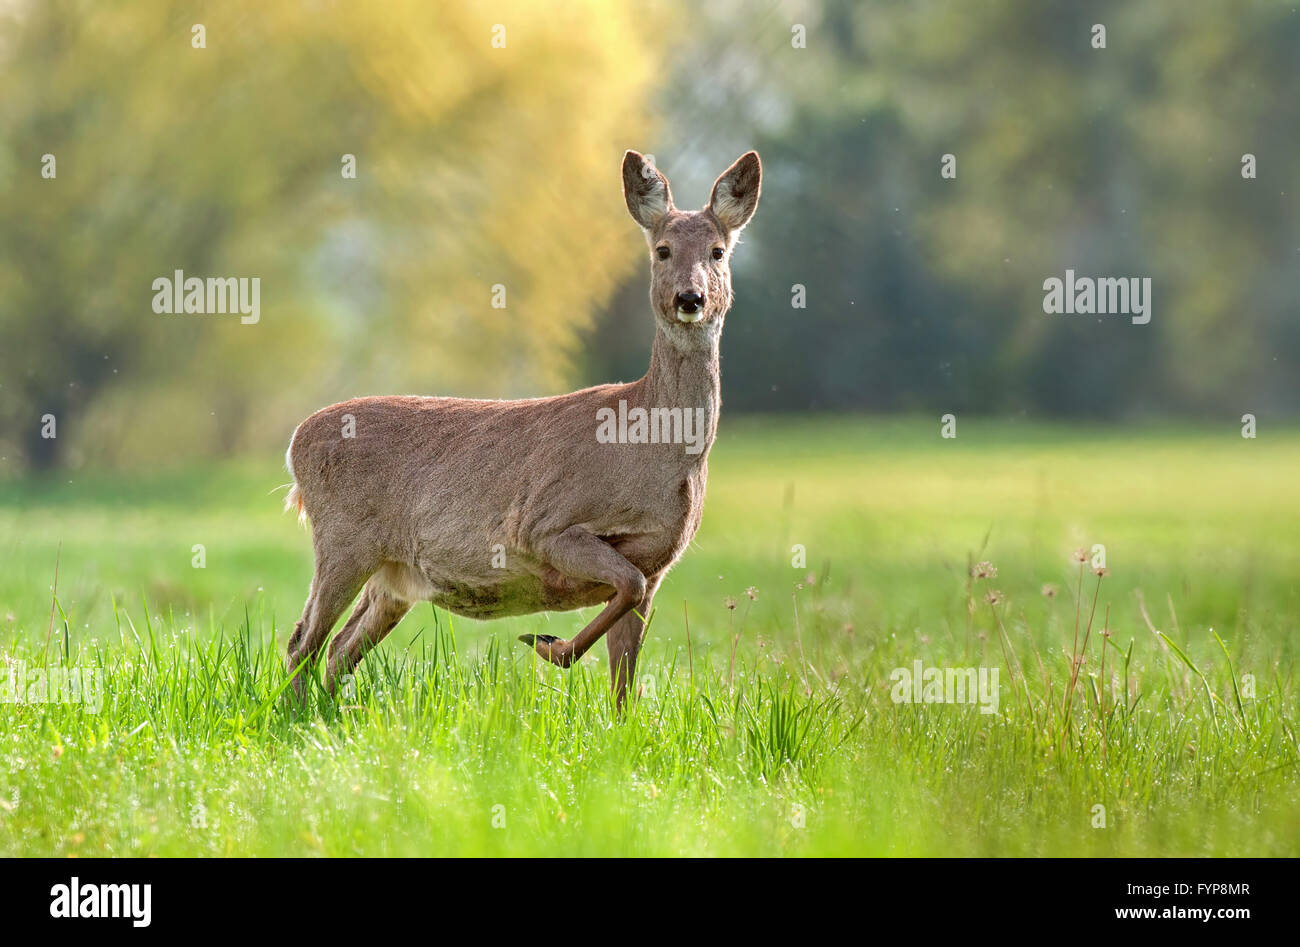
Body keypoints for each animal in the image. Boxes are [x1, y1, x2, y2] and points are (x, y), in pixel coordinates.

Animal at [282, 150, 761, 707]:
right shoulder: (544, 524)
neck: (653, 447)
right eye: (662, 251)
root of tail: (295, 443)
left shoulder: (658, 564)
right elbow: (626, 588)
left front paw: (606, 710)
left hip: (392, 578)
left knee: (339, 648)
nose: (691, 298)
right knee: (303, 641)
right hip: (343, 540)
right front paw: (549, 645)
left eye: (718, 252)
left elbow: (625, 672)